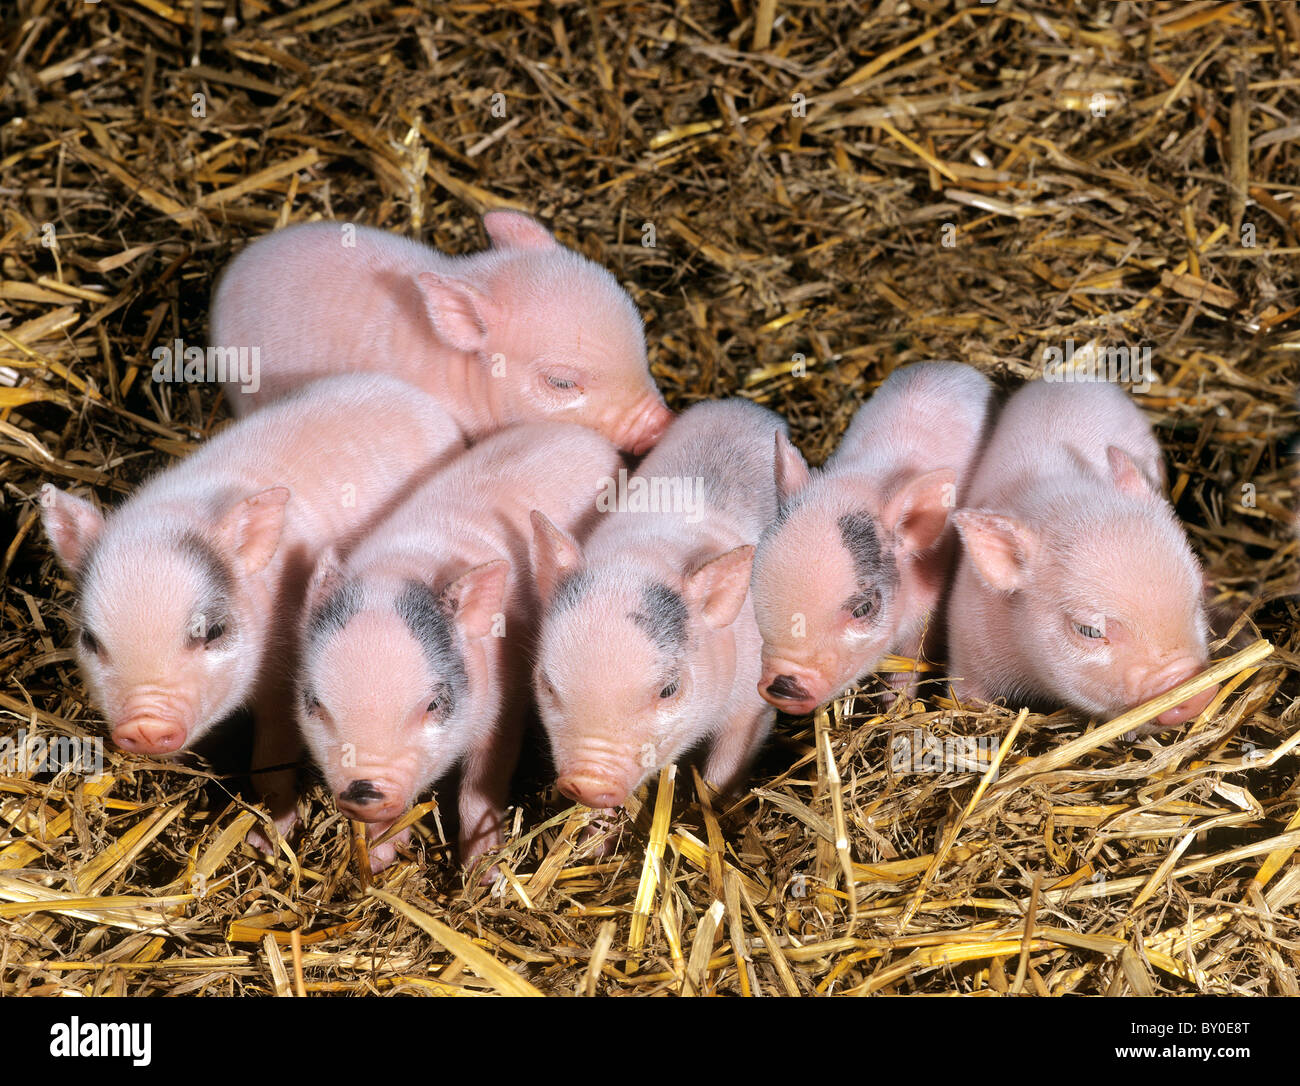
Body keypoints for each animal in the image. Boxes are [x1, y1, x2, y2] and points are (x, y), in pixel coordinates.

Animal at [39, 374, 466, 836]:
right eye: (89, 639)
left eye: (213, 631)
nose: (145, 724)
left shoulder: (285, 680)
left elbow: (272, 755)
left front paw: (272, 830)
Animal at [295, 422, 621, 872]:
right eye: (315, 703)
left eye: (434, 703)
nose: (364, 793)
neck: (401, 568)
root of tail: (582, 433)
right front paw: (377, 866)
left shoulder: (503, 705)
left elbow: (478, 789)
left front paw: (481, 873)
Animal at [531, 399, 782, 810]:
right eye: (547, 684)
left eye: (669, 690)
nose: (586, 782)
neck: (645, 555)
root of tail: (742, 404)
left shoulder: (753, 698)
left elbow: (726, 765)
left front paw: (714, 805)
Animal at [752, 362, 996, 715]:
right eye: (755, 590)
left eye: (863, 608)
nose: (781, 688)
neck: (863, 483)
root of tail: (947, 364)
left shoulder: (929, 607)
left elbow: (910, 661)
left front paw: (894, 705)